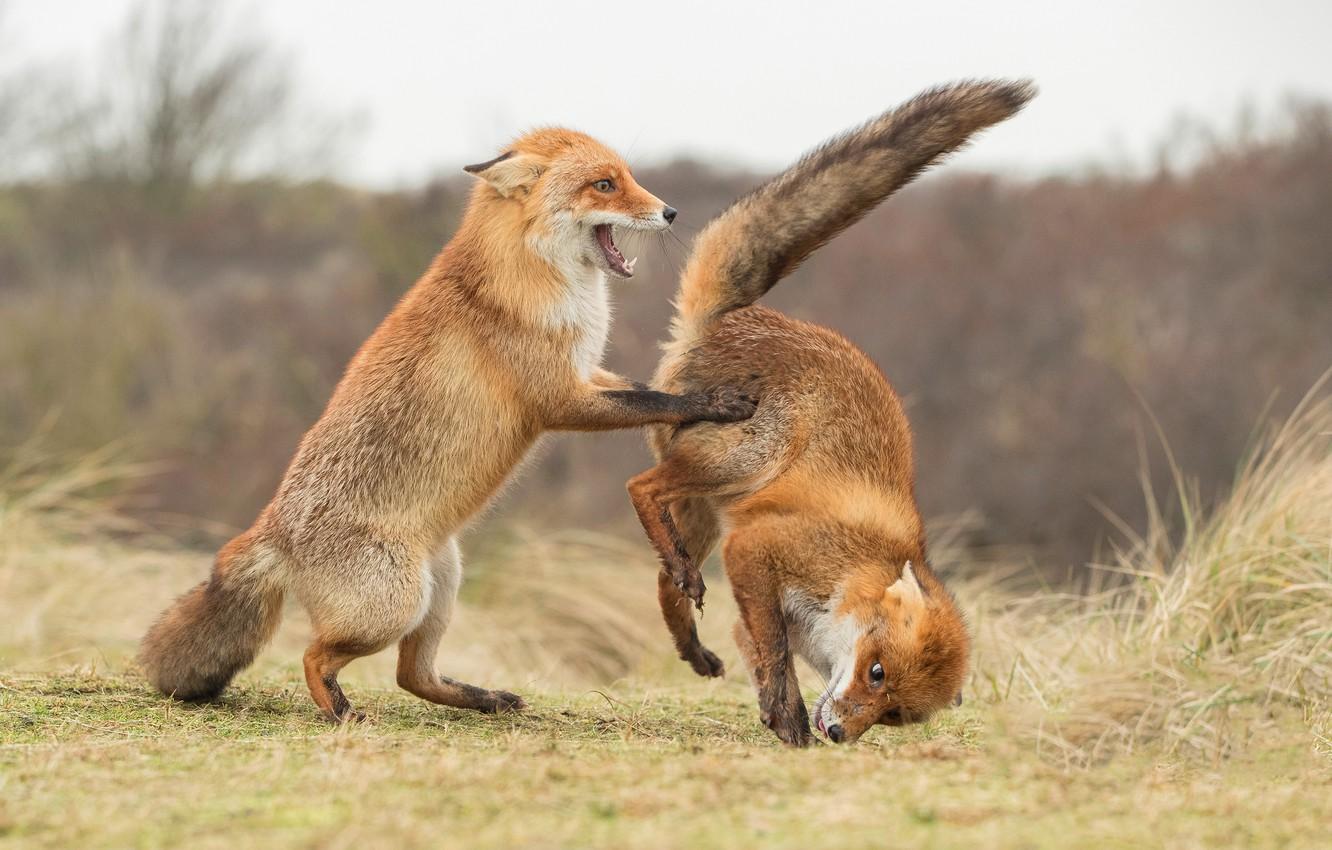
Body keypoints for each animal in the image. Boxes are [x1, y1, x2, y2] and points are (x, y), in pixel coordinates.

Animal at [140, 128, 756, 722]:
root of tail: (271, 530)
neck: (536, 280)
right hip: (392, 607)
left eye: (628, 177)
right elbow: (656, 400)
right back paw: (341, 712)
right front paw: (717, 402)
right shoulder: (559, 399)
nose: (670, 212)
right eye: (604, 185)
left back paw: (484, 700)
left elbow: (644, 389)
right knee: (314, 656)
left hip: (442, 585)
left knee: (411, 676)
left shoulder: (586, 373)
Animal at [626, 80, 1035, 745]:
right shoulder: (757, 551)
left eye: (893, 713)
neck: (857, 571)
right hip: (744, 461)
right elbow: (772, 649)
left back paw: (691, 643)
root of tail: (733, 318)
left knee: (666, 576)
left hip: (708, 511)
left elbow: (757, 648)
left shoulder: (756, 594)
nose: (840, 734)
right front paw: (791, 719)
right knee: (640, 488)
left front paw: (778, 713)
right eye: (876, 672)